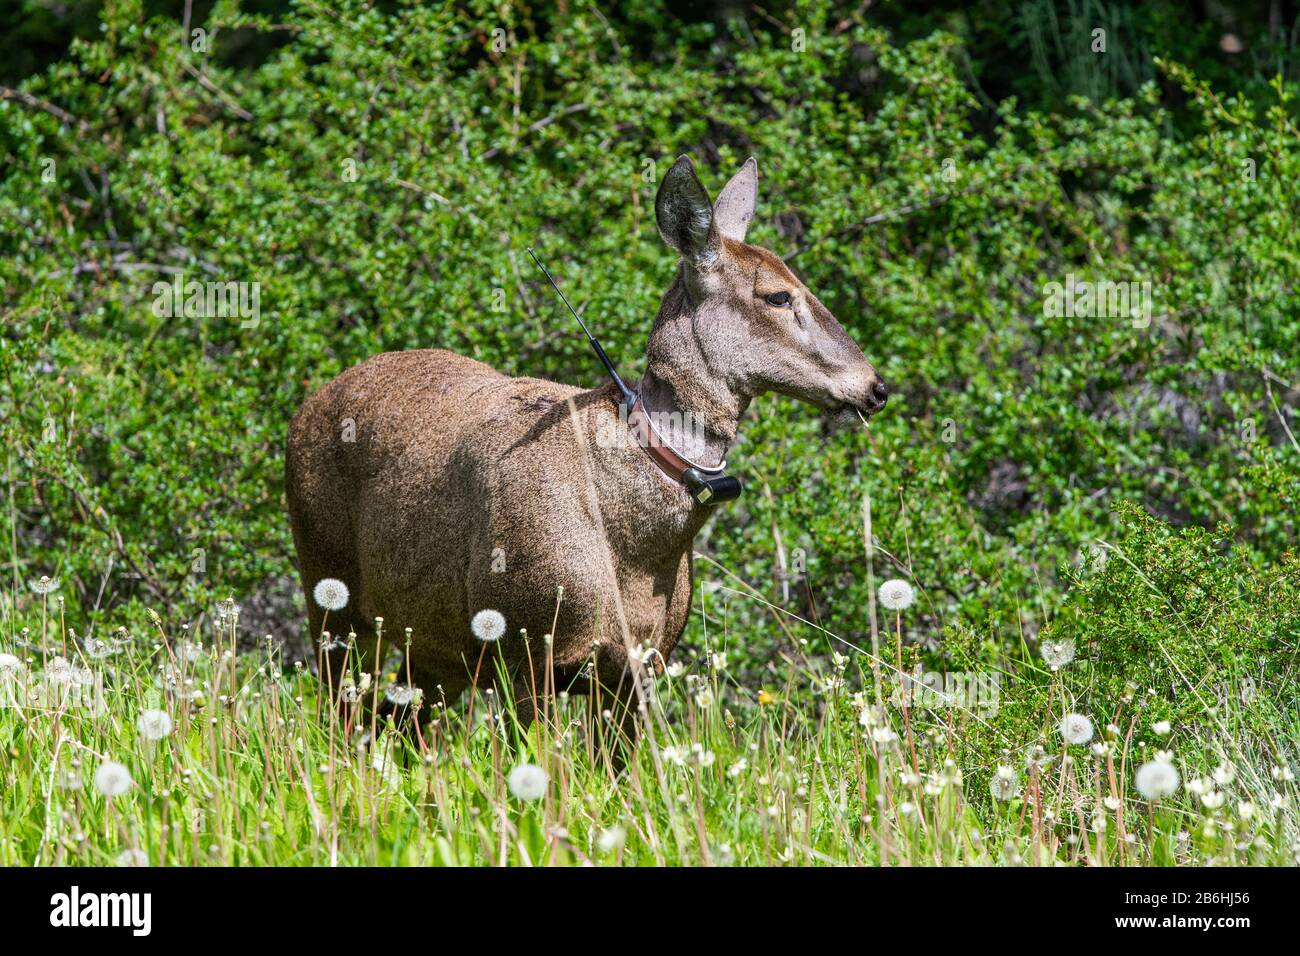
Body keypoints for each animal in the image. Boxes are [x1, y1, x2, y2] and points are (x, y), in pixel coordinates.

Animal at [285, 155, 887, 747]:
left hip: (436, 646)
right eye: (777, 294)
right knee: (338, 717)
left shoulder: (640, 667)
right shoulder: (526, 651)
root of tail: (306, 407)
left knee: (396, 722)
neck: (637, 545)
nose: (874, 387)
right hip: (330, 593)